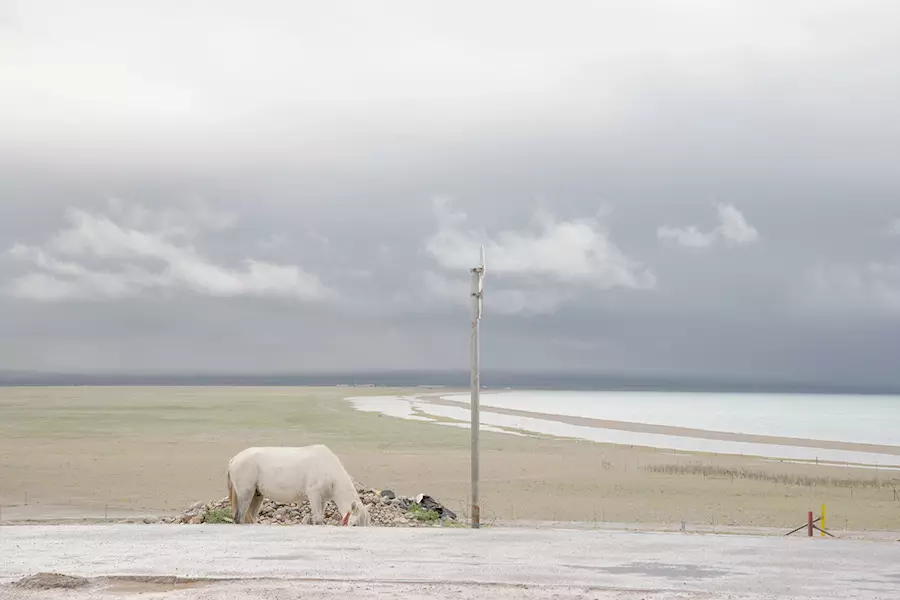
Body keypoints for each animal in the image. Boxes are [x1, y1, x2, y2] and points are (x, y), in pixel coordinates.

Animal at [227, 442, 370, 528]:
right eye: (355, 524)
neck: (329, 468)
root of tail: (234, 459)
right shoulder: (314, 494)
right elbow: (318, 519)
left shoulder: (323, 498)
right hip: (245, 491)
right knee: (239, 516)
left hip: (257, 495)